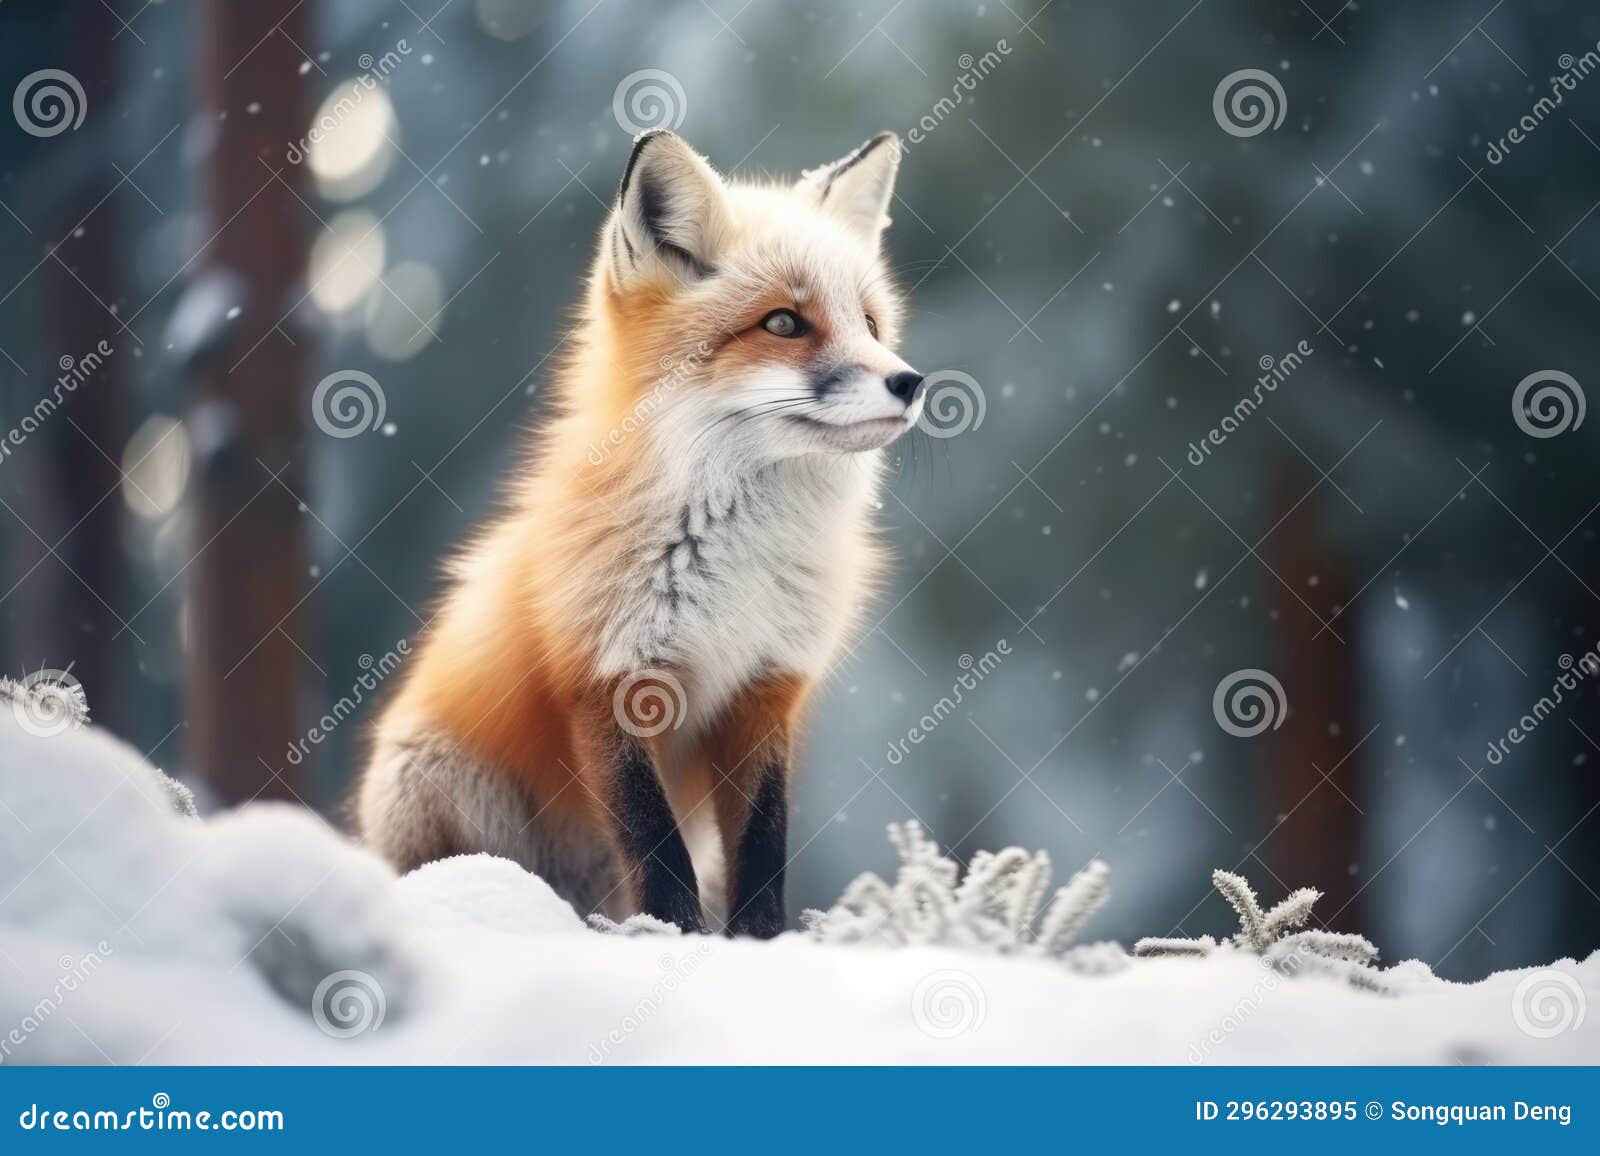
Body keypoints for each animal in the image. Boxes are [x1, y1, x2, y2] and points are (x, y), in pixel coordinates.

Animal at [356, 128, 926, 937]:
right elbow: (653, 842)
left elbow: (763, 842)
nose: (910, 382)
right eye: (784, 323)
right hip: (440, 781)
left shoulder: (765, 688)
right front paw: (672, 935)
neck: (735, 559)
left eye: (871, 325)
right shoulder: (608, 678)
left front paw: (760, 943)